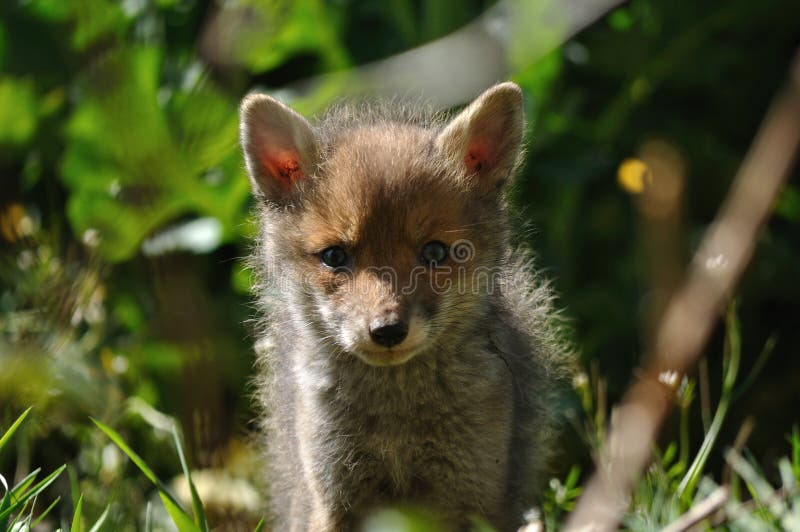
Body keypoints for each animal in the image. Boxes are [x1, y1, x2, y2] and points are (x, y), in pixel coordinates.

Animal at [239, 82, 572, 531]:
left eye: (434, 252)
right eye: (334, 256)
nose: (387, 331)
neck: (396, 421)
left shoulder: (475, 495)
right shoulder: (333, 496)